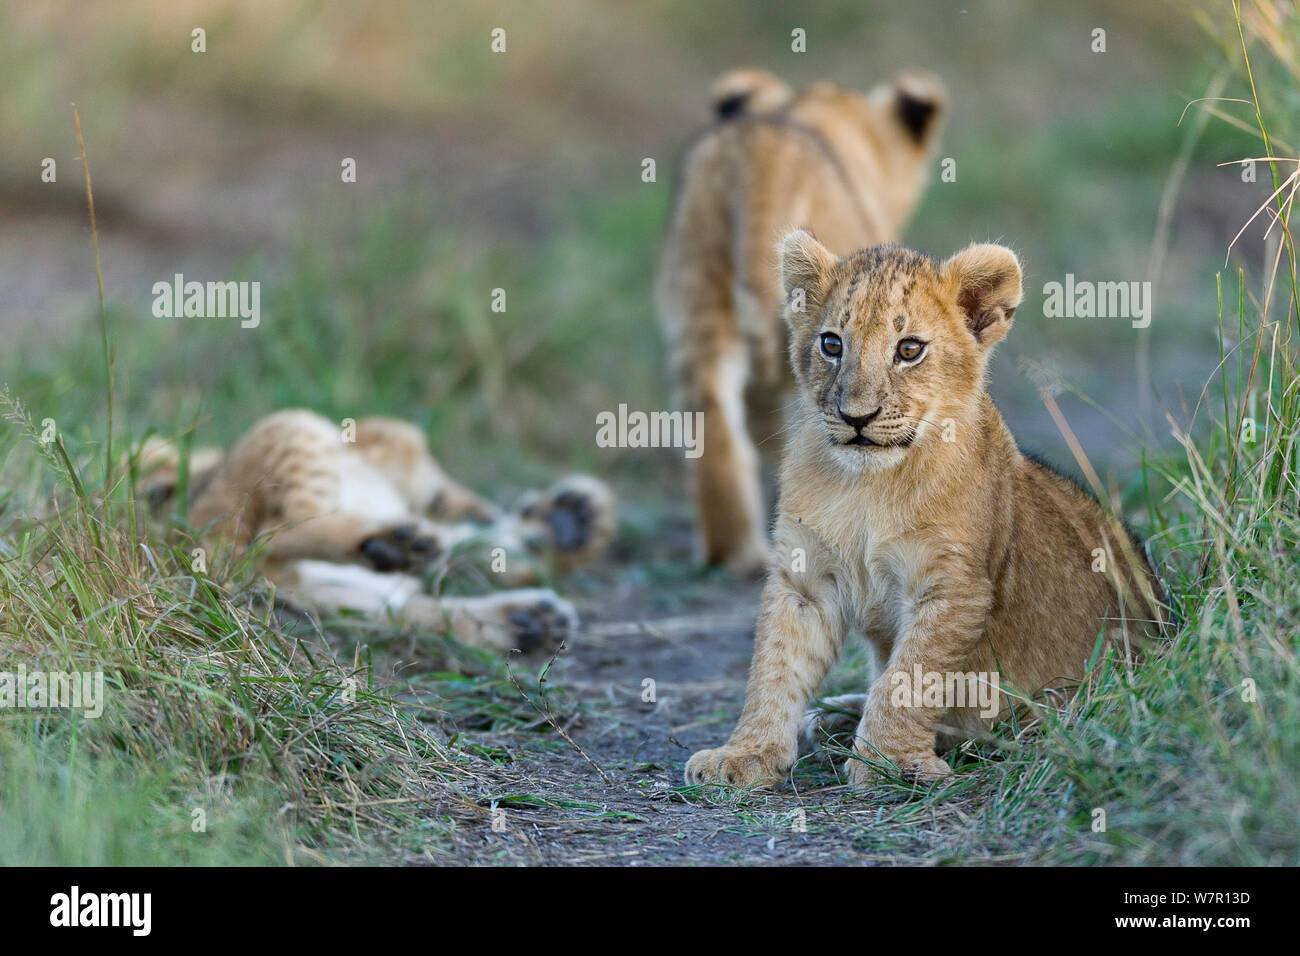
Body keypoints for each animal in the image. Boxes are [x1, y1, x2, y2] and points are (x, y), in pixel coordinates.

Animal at [134, 410, 615, 654]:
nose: (481, 508)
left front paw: (564, 525)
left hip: (342, 594)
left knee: (403, 609)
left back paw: (525, 621)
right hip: (293, 426)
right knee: (276, 533)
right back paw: (391, 543)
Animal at [684, 232, 1166, 788]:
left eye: (909, 349)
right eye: (832, 344)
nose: (857, 416)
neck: (869, 487)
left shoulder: (952, 584)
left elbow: (909, 678)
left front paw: (888, 762)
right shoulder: (803, 576)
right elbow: (774, 667)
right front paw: (745, 754)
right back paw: (833, 717)